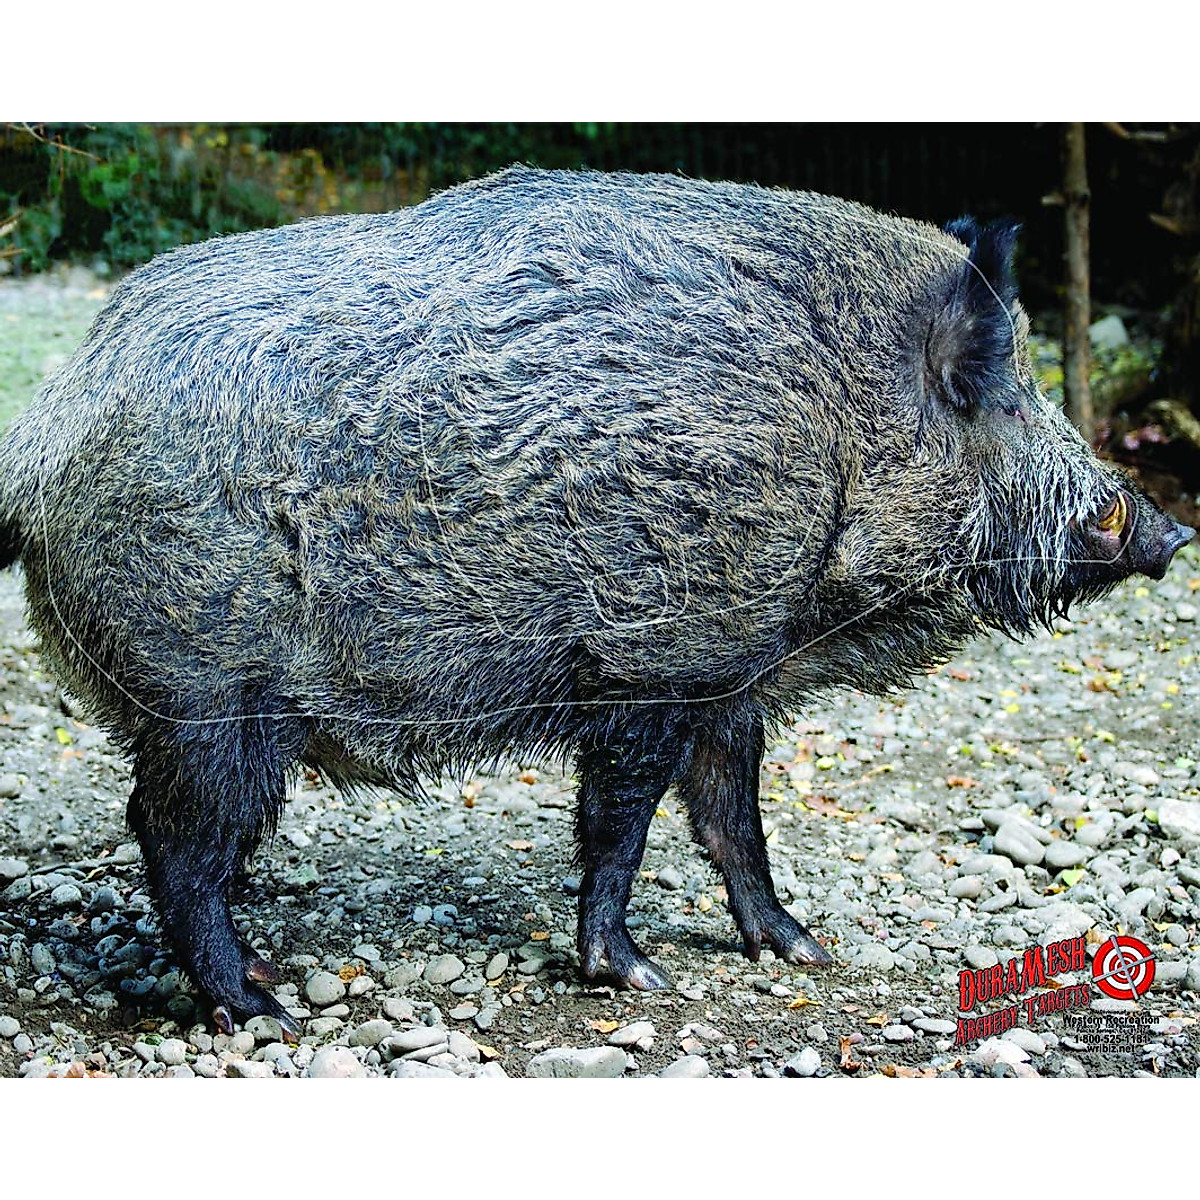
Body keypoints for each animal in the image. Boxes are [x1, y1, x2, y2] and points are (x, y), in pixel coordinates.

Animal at [0, 167, 1192, 1035]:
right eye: (998, 391)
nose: (1168, 529)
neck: (839, 430)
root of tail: (51, 429)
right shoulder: (654, 661)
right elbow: (622, 821)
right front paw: (635, 976)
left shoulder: (731, 671)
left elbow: (732, 816)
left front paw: (798, 947)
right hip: (201, 690)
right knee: (171, 839)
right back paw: (264, 1010)